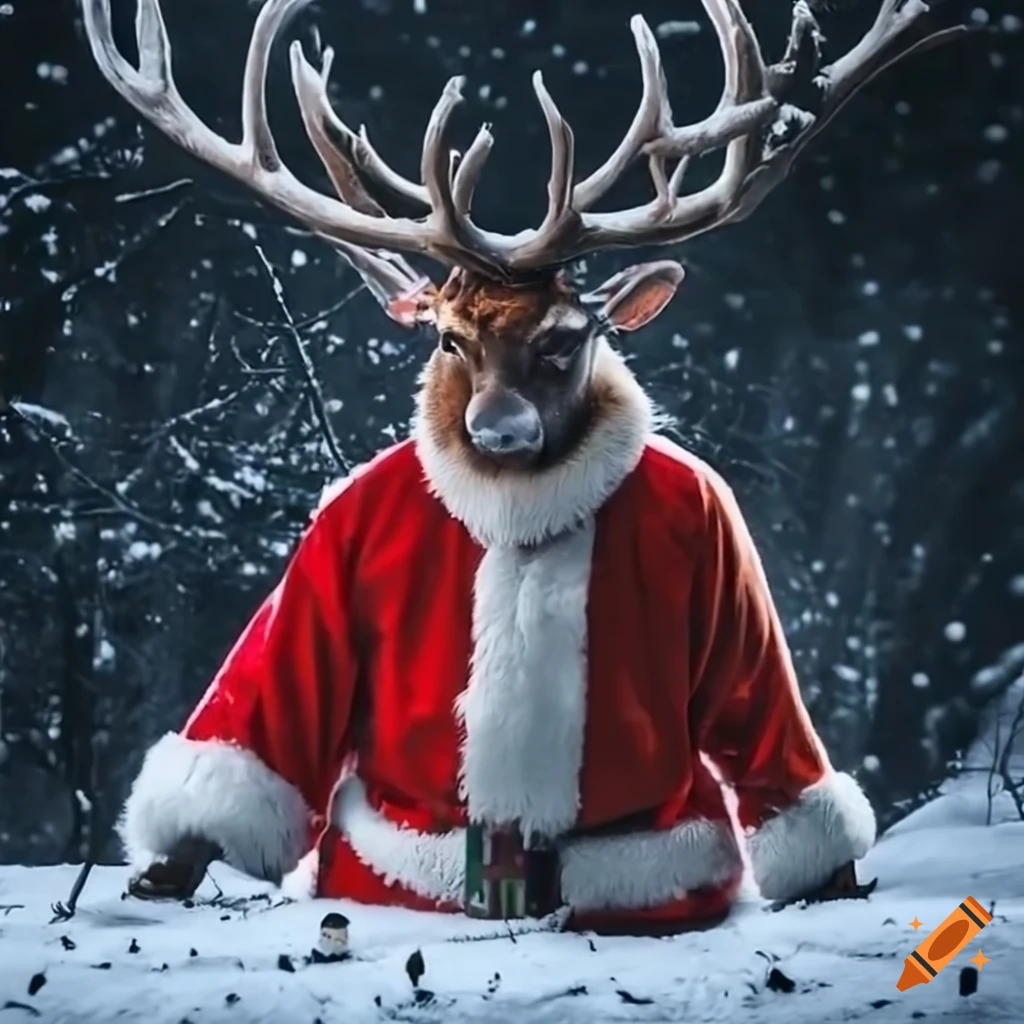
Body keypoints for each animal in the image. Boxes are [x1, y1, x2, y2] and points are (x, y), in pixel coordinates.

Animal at [70, 0, 964, 933]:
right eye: (448, 338)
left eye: (565, 339)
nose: (497, 430)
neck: (517, 508)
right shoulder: (335, 539)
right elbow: (274, 689)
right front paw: (164, 867)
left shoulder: (721, 536)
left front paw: (835, 877)